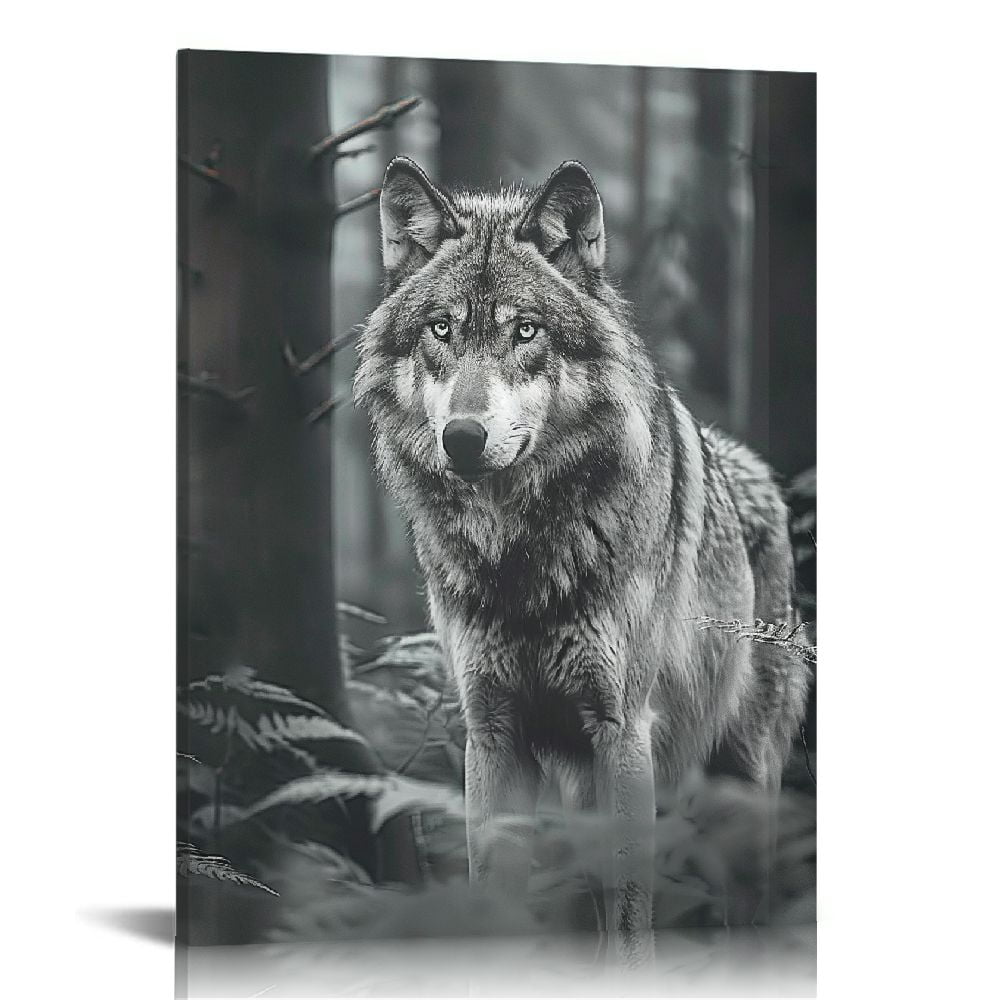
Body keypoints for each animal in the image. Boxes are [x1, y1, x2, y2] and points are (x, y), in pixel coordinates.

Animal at [354, 156, 810, 965]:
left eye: (526, 330)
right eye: (441, 329)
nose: (462, 438)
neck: (519, 559)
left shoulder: (621, 728)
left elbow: (630, 924)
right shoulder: (492, 733)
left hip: (741, 792)